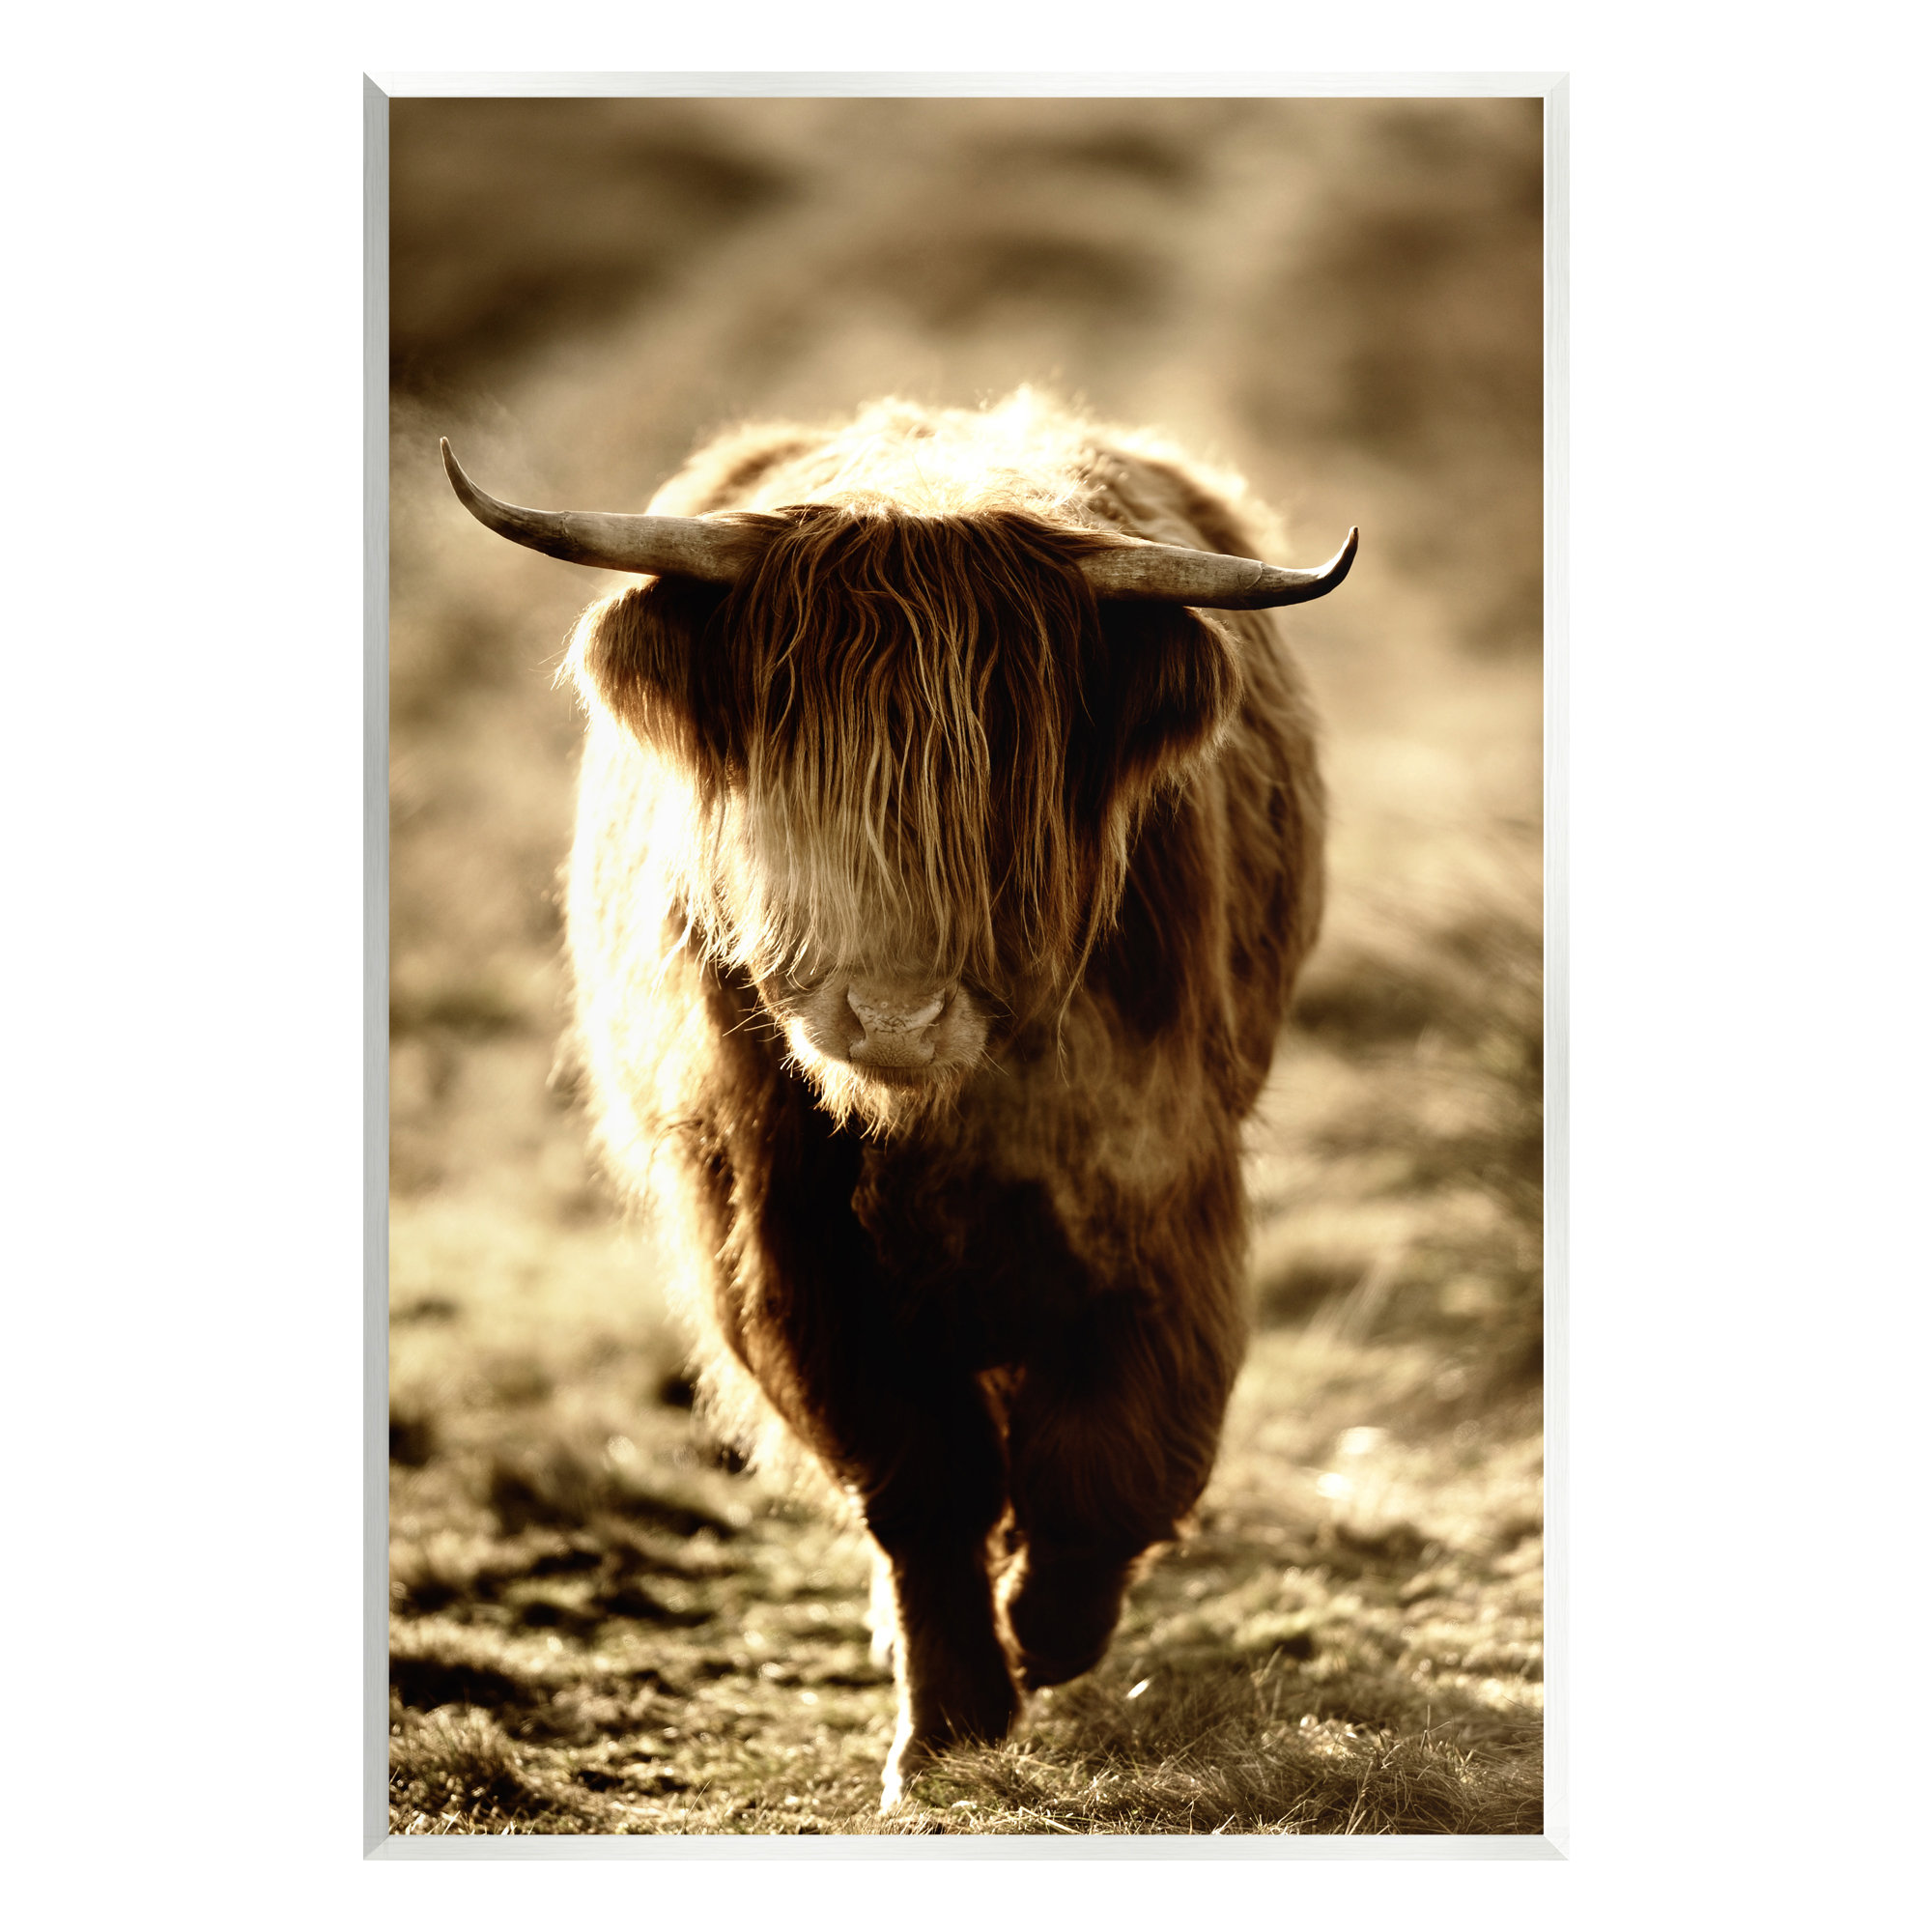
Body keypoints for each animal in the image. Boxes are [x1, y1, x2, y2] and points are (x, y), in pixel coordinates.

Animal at [440, 392, 1354, 1806]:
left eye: (1004, 776)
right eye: (792, 769)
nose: (892, 1015)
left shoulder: (1159, 1189)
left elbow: (1117, 1454)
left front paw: (1048, 1628)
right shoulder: (784, 1237)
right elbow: (918, 1476)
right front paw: (949, 1724)